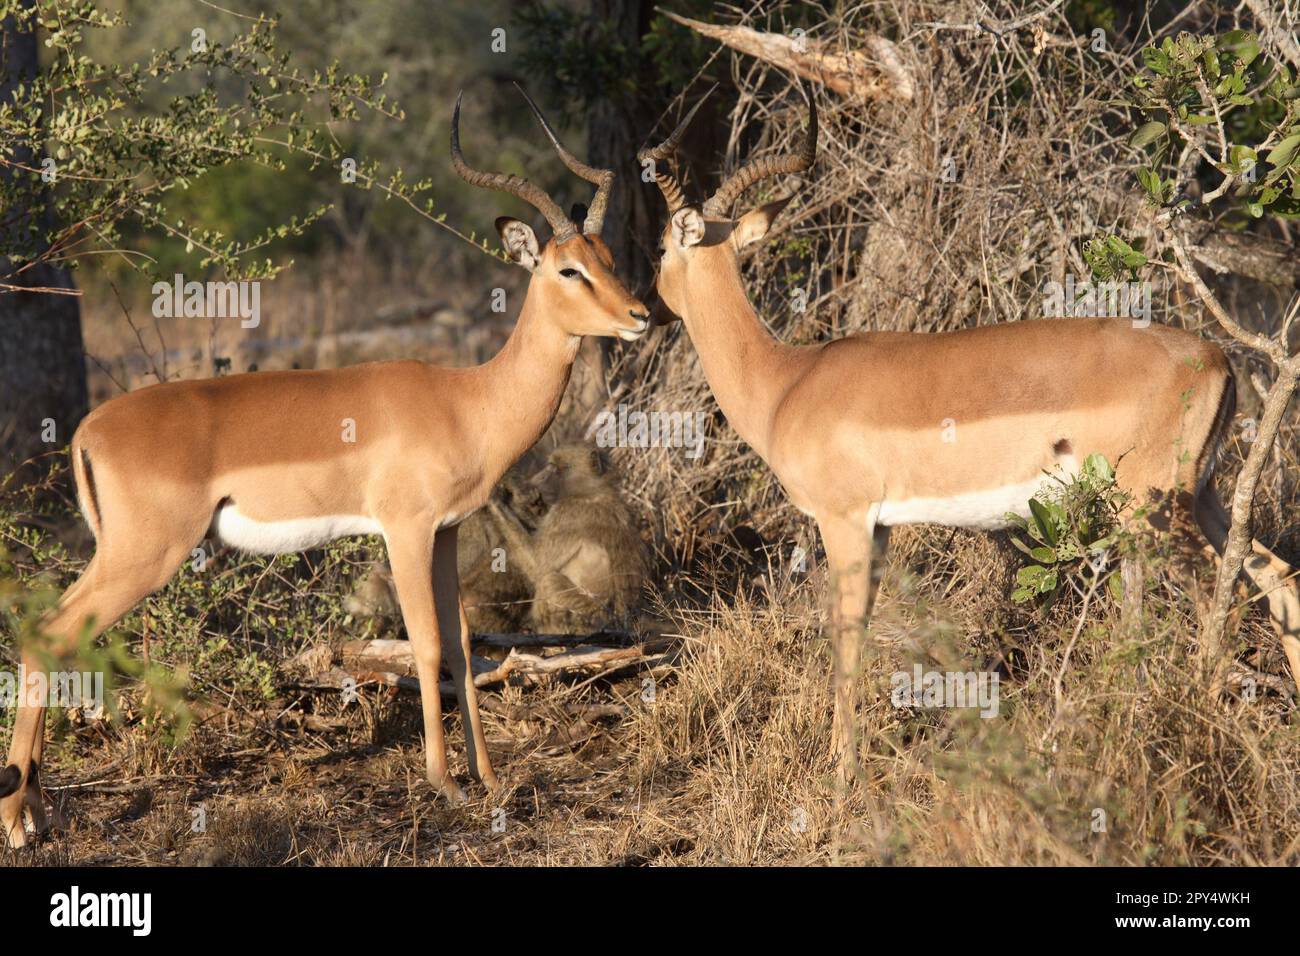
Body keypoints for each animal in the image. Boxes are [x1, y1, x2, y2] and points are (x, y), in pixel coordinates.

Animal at [488, 443, 649, 633]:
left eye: (555, 467)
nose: (537, 479)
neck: (592, 491)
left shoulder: (566, 511)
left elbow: (538, 565)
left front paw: (494, 498)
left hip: (585, 619)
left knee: (549, 582)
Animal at [640, 83, 1300, 781]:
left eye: (660, 249)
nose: (647, 309)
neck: (787, 382)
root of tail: (1216, 357)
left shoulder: (843, 520)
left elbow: (845, 640)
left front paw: (842, 776)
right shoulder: (879, 528)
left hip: (1153, 508)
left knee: (1220, 596)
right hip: (1200, 498)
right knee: (1276, 578)